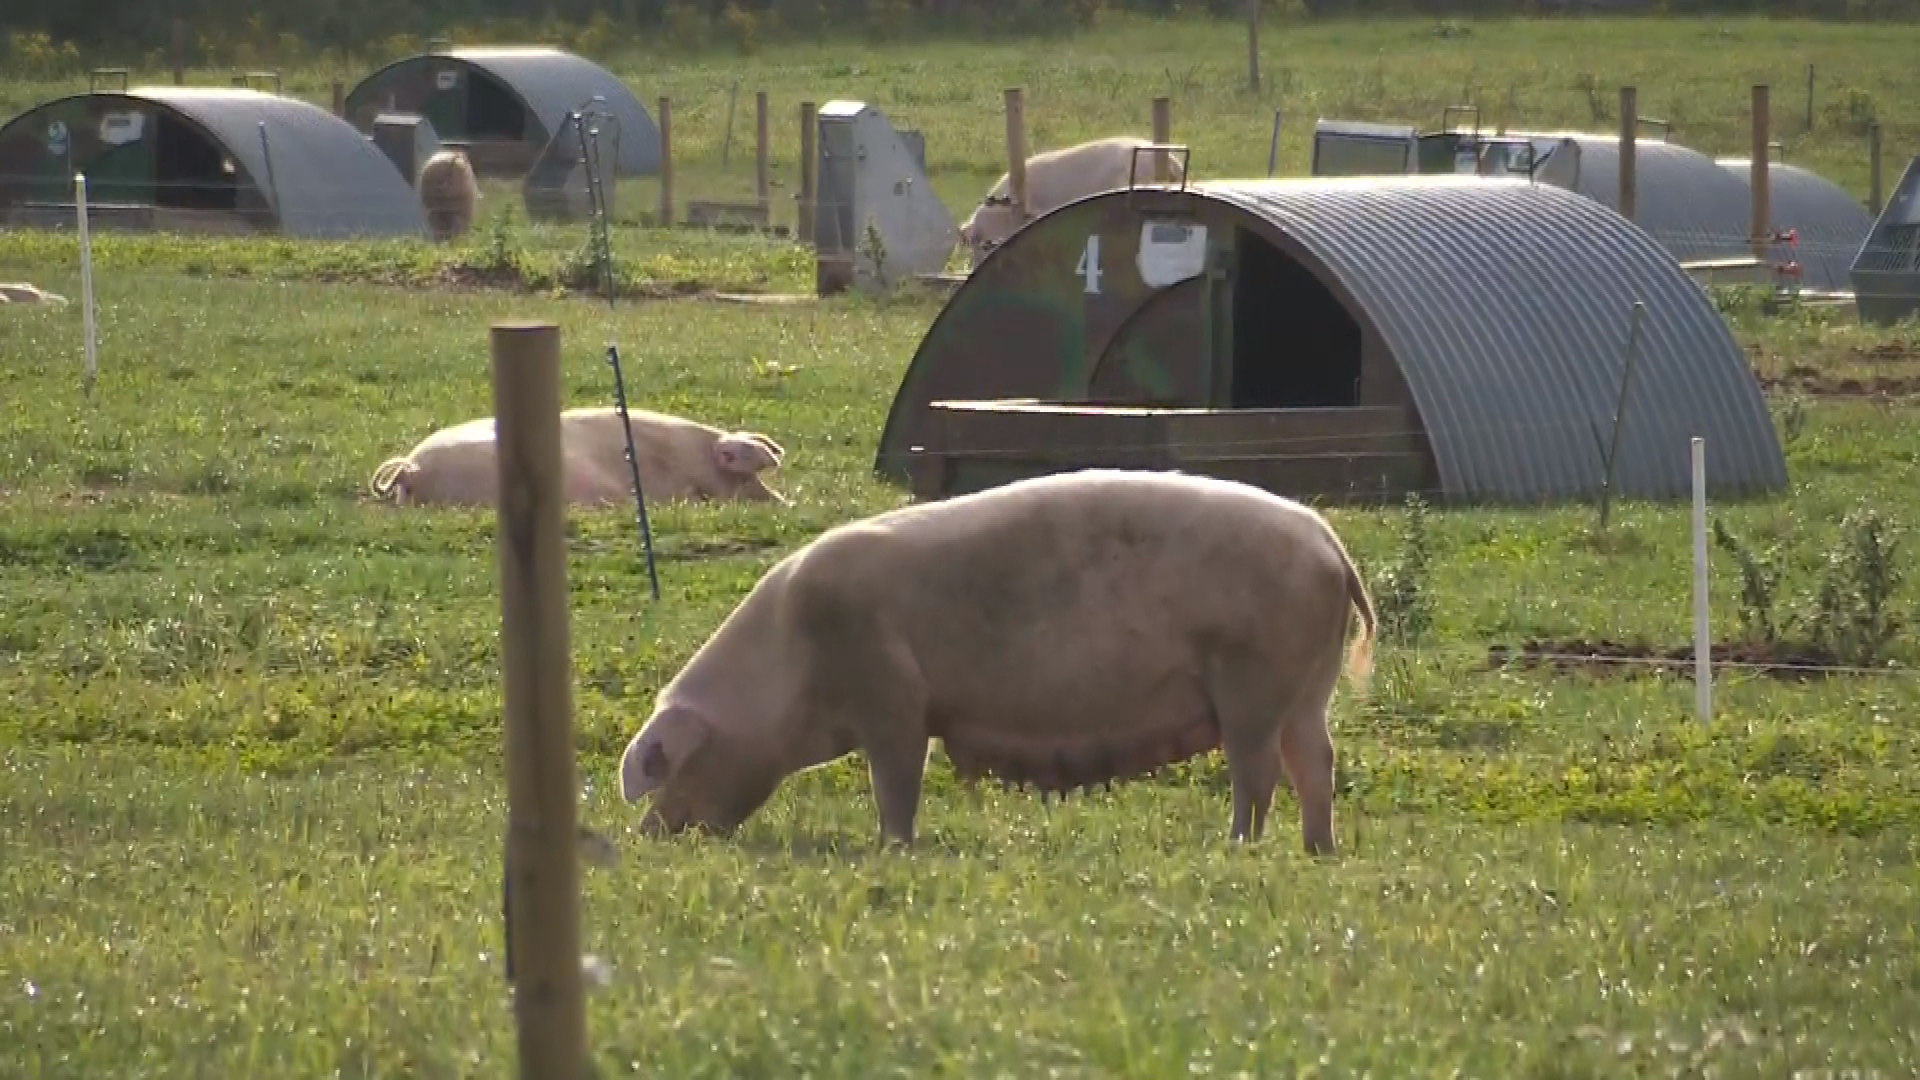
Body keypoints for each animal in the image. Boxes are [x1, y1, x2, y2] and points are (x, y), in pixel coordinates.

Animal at [617, 468, 1376, 856]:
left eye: (668, 767)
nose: (646, 836)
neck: (787, 666)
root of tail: (1328, 544)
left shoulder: (891, 697)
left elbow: (896, 781)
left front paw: (893, 849)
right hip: (1307, 686)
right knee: (1316, 760)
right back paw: (1318, 850)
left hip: (1253, 679)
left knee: (1261, 769)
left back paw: (1237, 845)